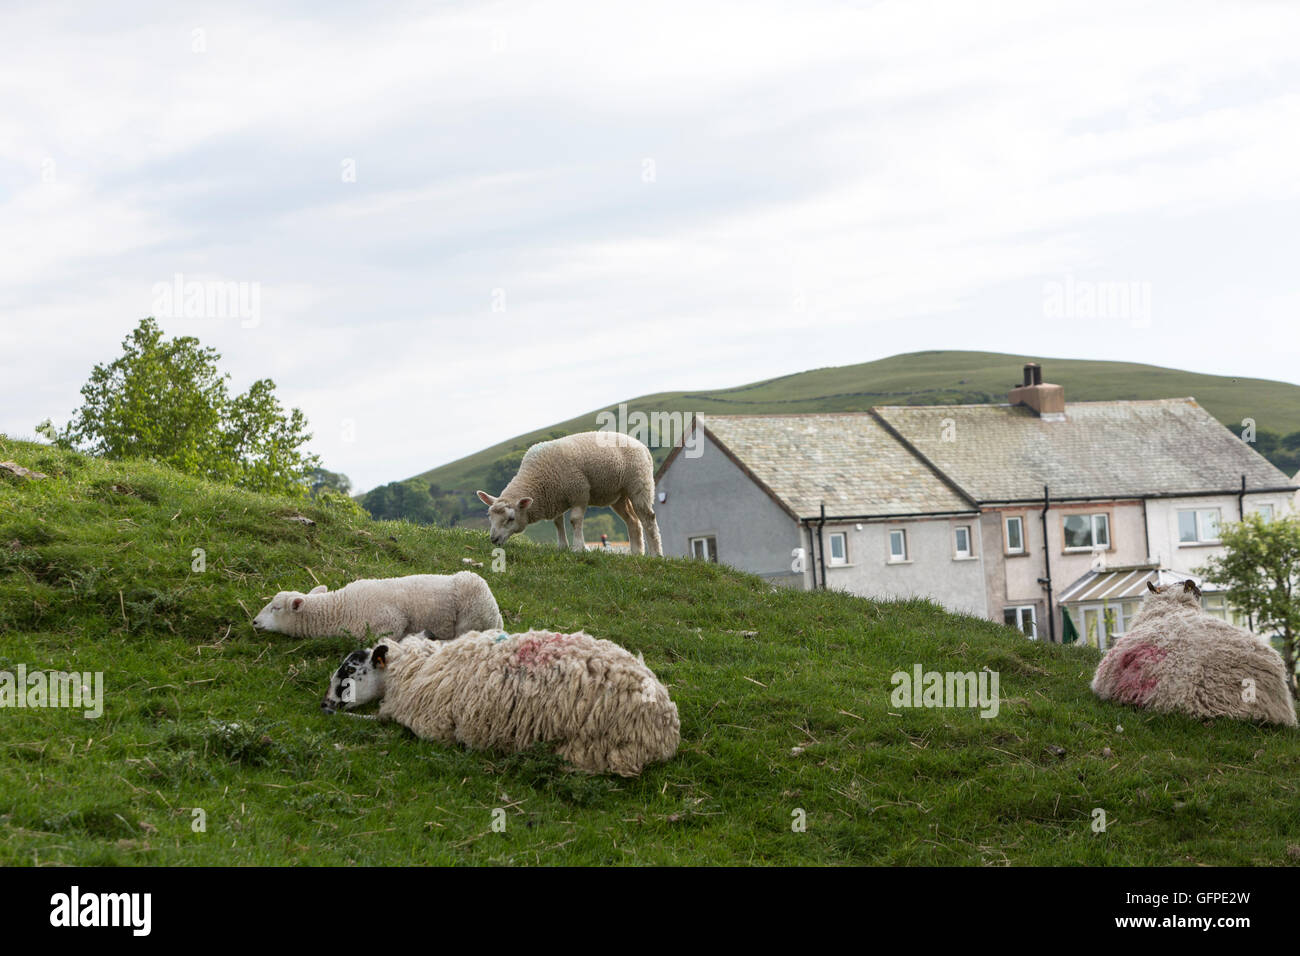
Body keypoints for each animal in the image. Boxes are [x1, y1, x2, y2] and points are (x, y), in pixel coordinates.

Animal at [320, 628, 681, 776]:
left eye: (349, 670)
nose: (324, 706)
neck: (415, 667)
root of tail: (667, 728)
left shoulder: (429, 724)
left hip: (592, 747)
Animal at [477, 431, 662, 555]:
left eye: (511, 519)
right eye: (490, 516)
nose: (493, 540)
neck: (536, 478)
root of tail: (641, 445)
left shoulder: (579, 493)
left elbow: (575, 520)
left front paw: (579, 547)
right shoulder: (555, 497)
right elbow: (558, 523)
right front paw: (562, 546)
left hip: (639, 484)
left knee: (648, 518)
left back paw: (655, 554)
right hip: (618, 495)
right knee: (633, 521)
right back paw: (636, 553)